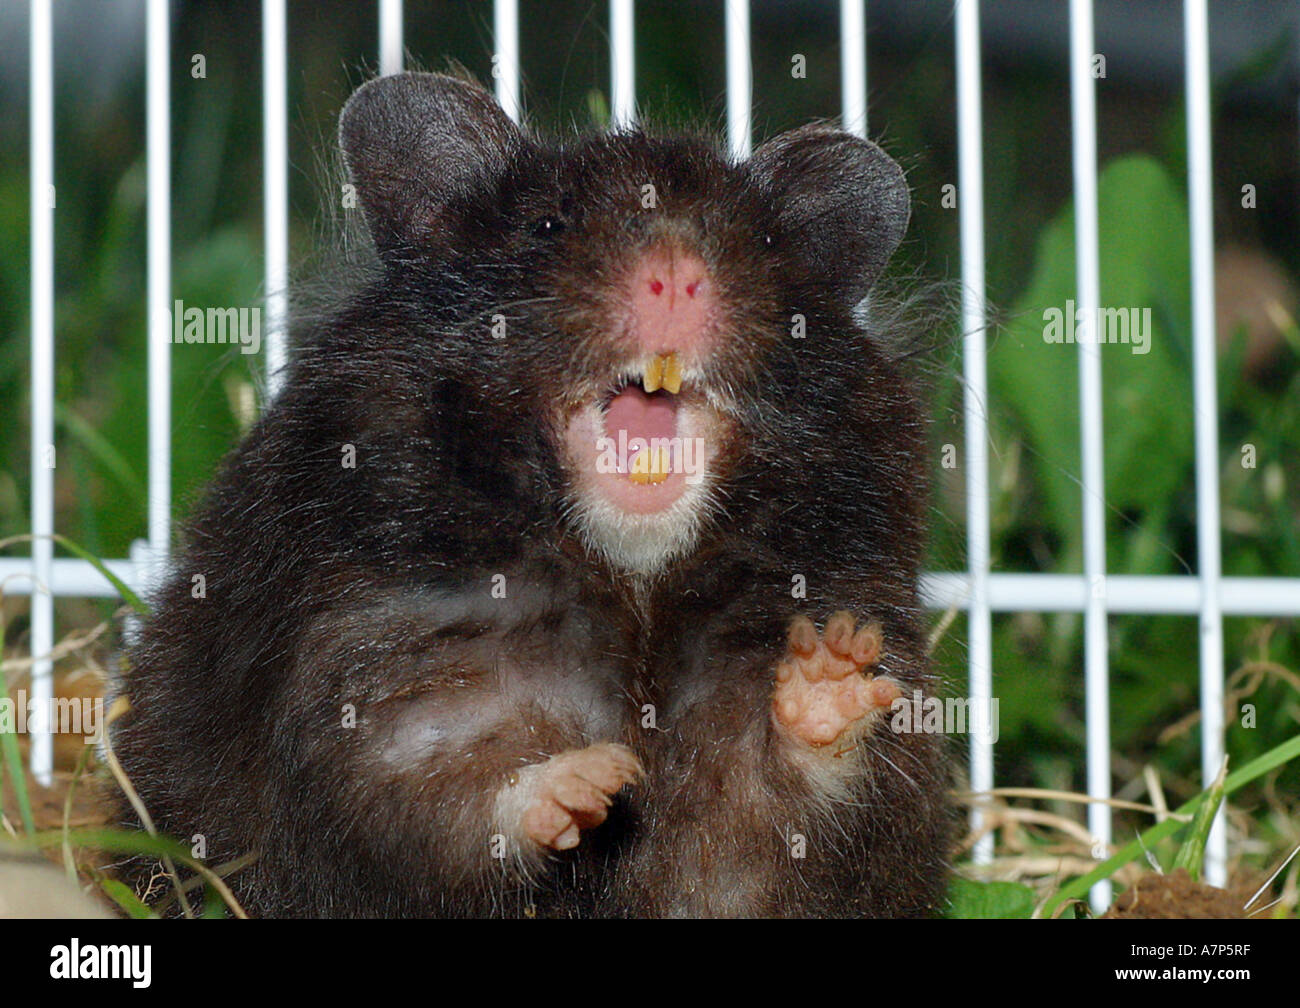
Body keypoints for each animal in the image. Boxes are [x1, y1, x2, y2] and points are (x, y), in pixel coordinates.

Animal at [110, 71, 951, 918]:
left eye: (765, 249)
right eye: (547, 225)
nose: (679, 277)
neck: (635, 575)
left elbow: (787, 806)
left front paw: (834, 667)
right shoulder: (380, 680)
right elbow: (444, 794)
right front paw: (589, 782)